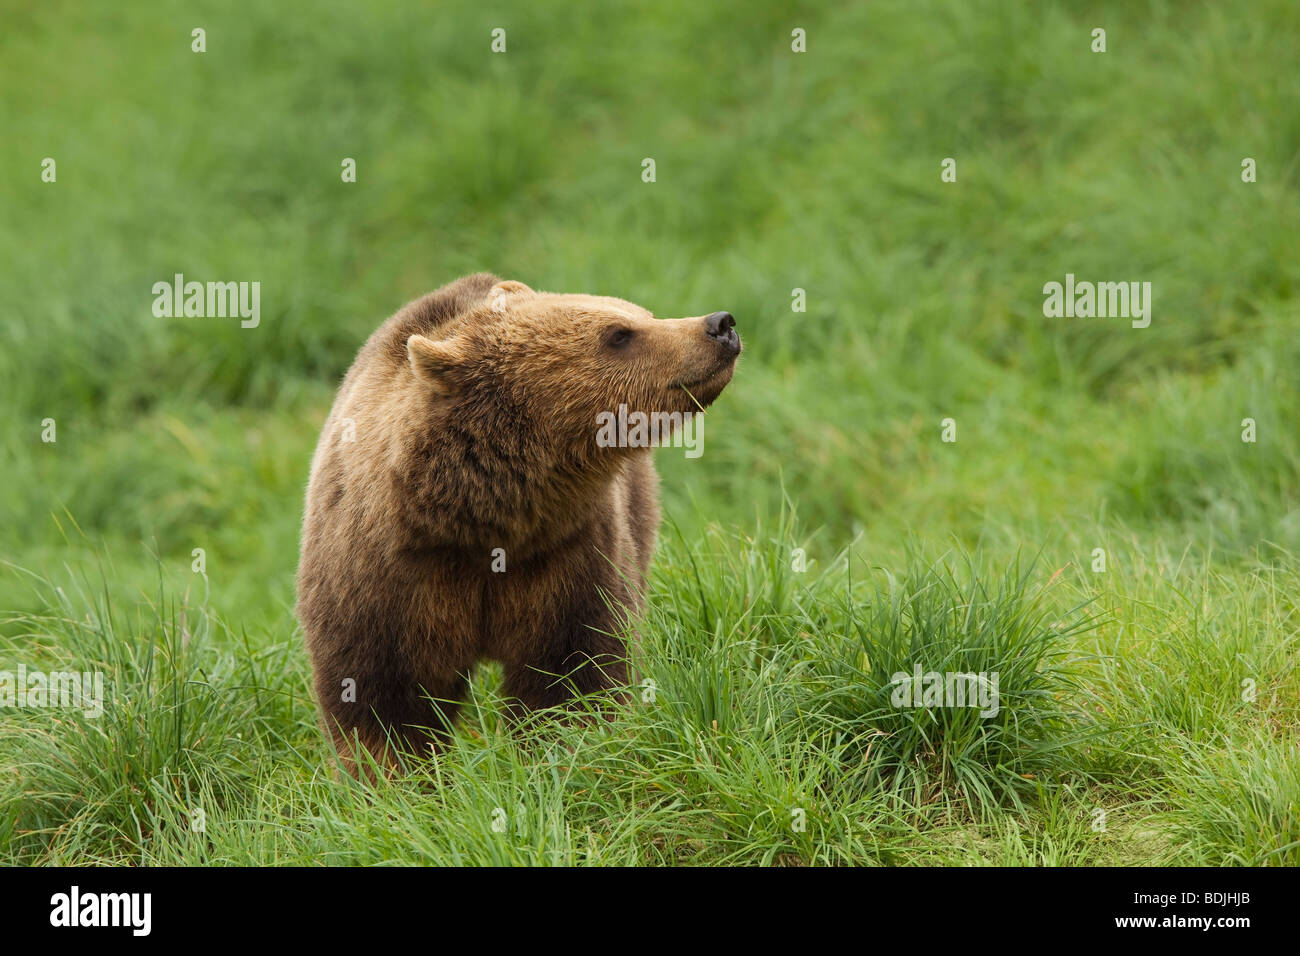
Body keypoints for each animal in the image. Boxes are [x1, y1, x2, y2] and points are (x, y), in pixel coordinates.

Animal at [296, 273, 741, 775]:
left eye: (641, 313)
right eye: (619, 334)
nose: (720, 324)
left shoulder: (569, 554)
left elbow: (571, 677)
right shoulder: (383, 572)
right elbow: (383, 697)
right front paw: (393, 778)